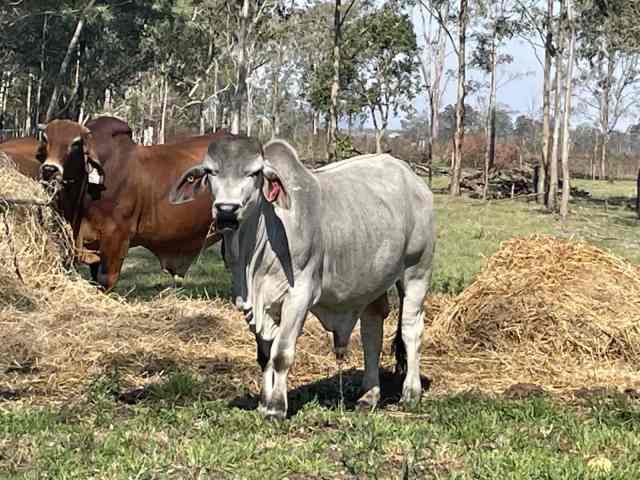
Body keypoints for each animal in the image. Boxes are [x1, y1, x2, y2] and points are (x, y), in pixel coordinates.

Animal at [170, 136, 435, 420]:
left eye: (254, 173)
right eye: (211, 171)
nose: (227, 211)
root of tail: (413, 178)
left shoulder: (299, 296)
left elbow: (281, 354)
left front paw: (276, 408)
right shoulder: (253, 304)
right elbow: (264, 355)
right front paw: (263, 402)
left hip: (417, 271)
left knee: (411, 330)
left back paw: (411, 393)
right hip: (372, 282)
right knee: (372, 332)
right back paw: (368, 396)